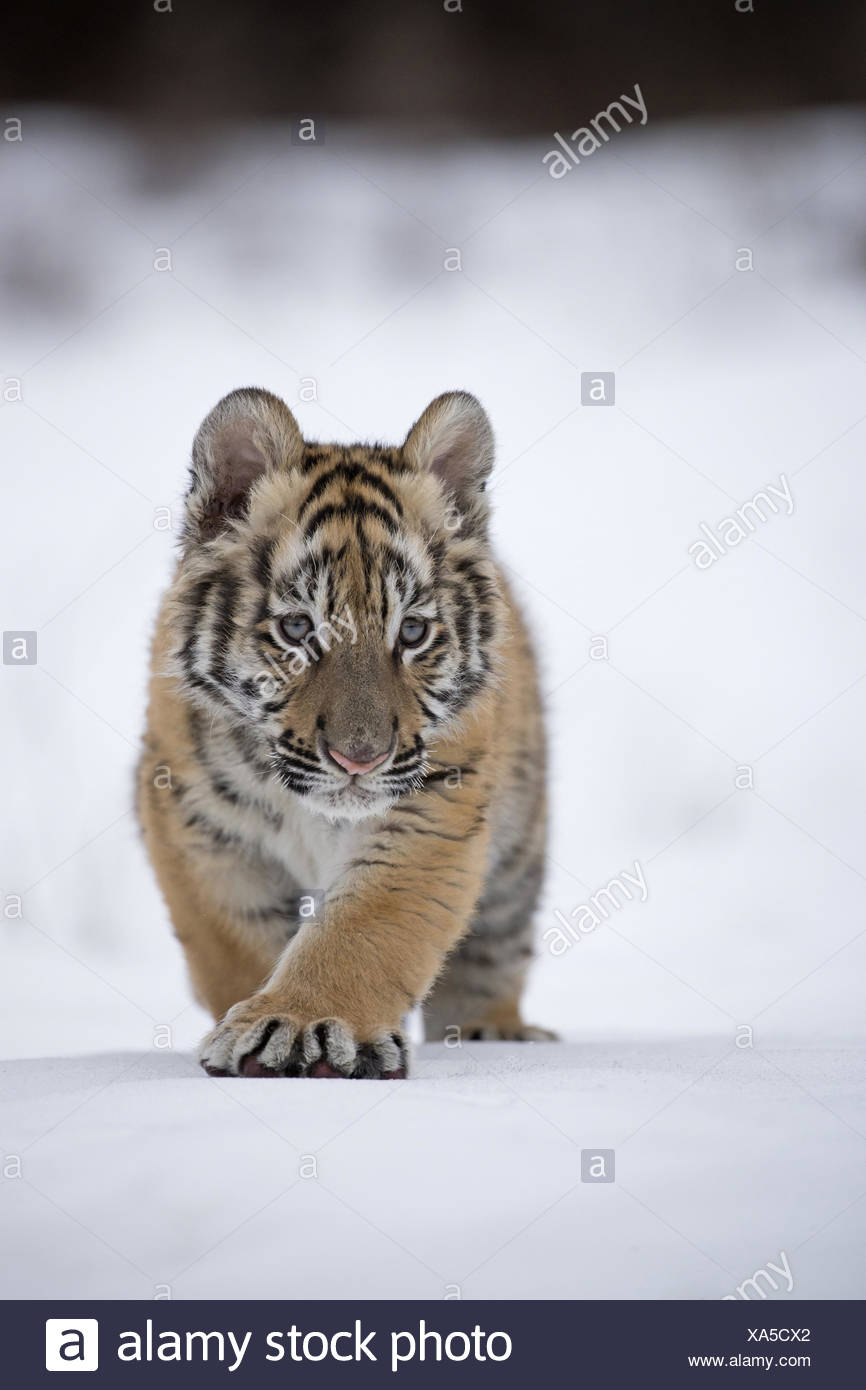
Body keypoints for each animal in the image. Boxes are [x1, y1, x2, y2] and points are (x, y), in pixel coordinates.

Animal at [137, 387, 554, 1078]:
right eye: (298, 630)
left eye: (411, 632)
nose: (359, 759)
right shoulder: (197, 826)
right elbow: (236, 945)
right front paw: (255, 1027)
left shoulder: (432, 810)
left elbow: (362, 930)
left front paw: (299, 1025)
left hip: (517, 859)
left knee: (491, 957)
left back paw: (495, 1033)